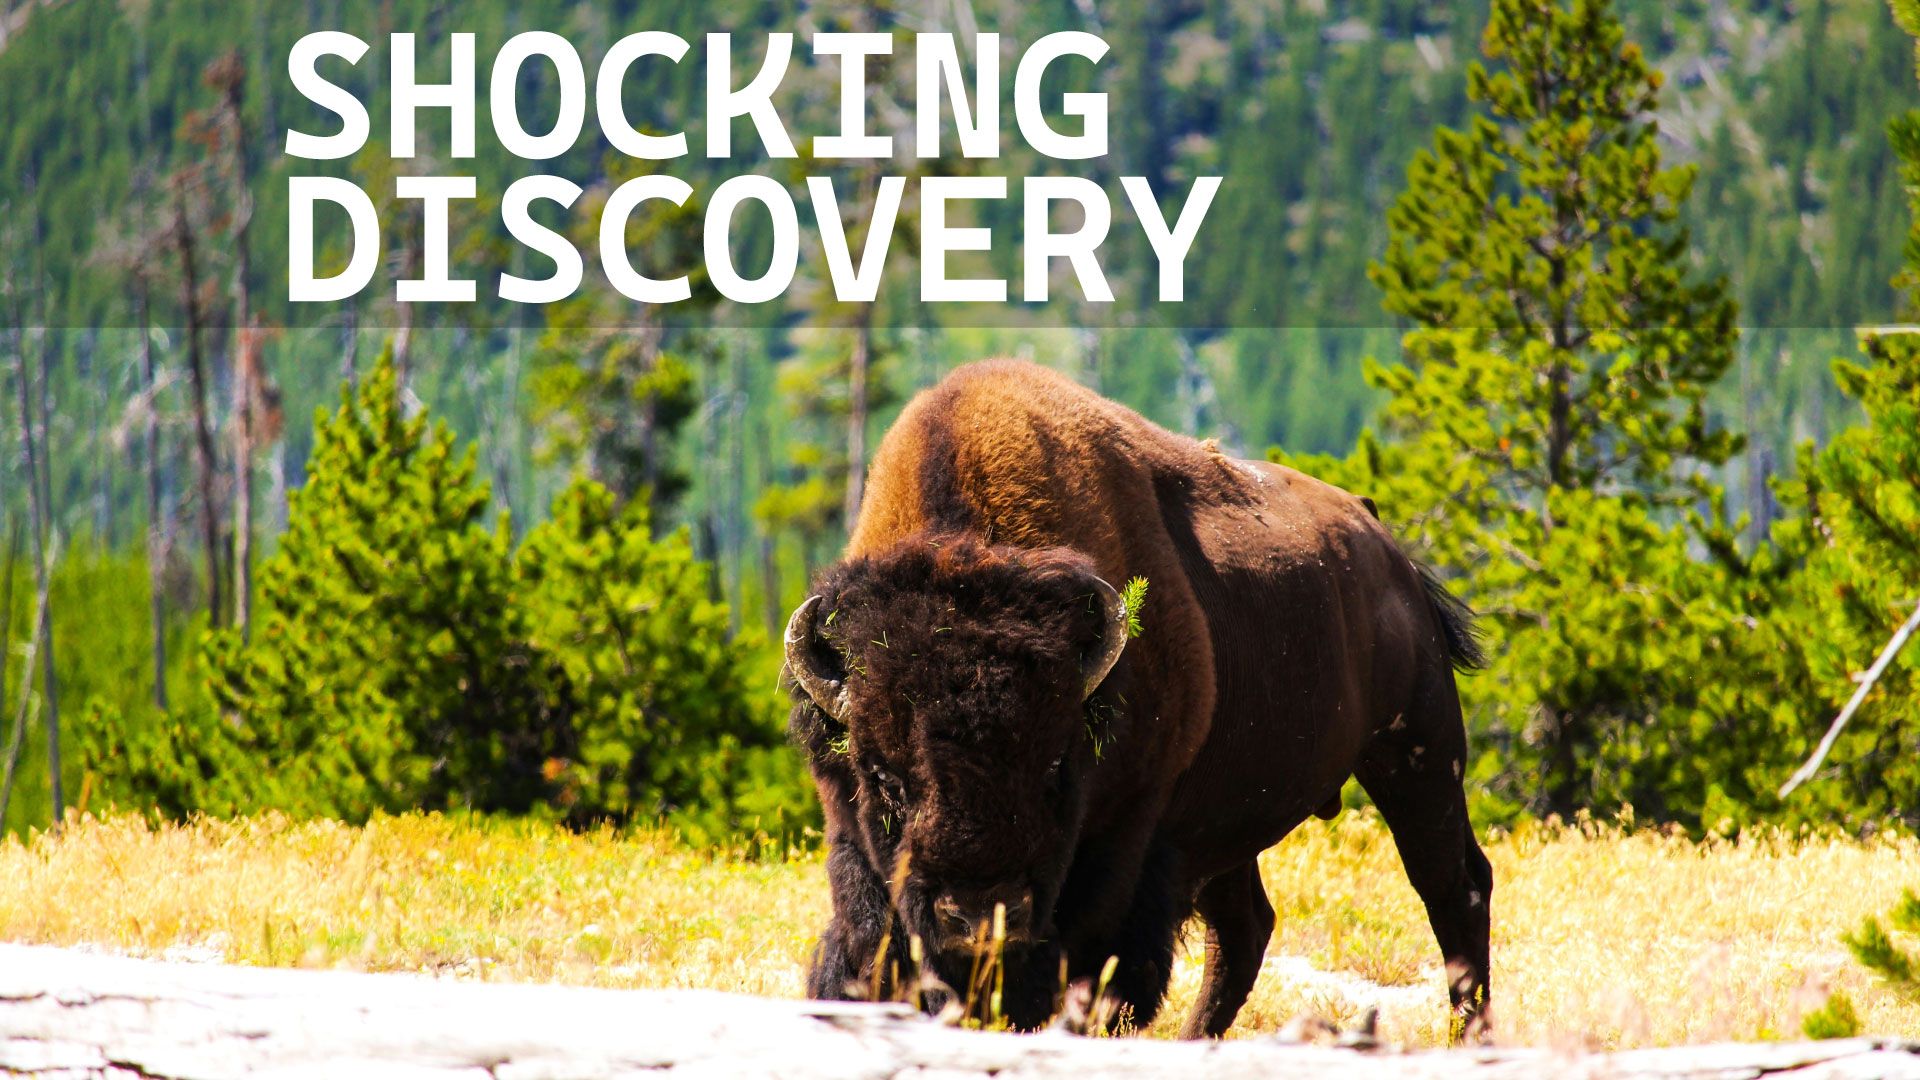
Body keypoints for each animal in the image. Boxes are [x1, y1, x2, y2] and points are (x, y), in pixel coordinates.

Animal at [784, 360, 1490, 1038]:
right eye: (883, 777)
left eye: (1055, 767)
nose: (980, 918)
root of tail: (1383, 542)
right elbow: (868, 944)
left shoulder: (1129, 839)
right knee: (1246, 927)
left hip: (1418, 752)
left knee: (1455, 887)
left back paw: (1468, 1034)